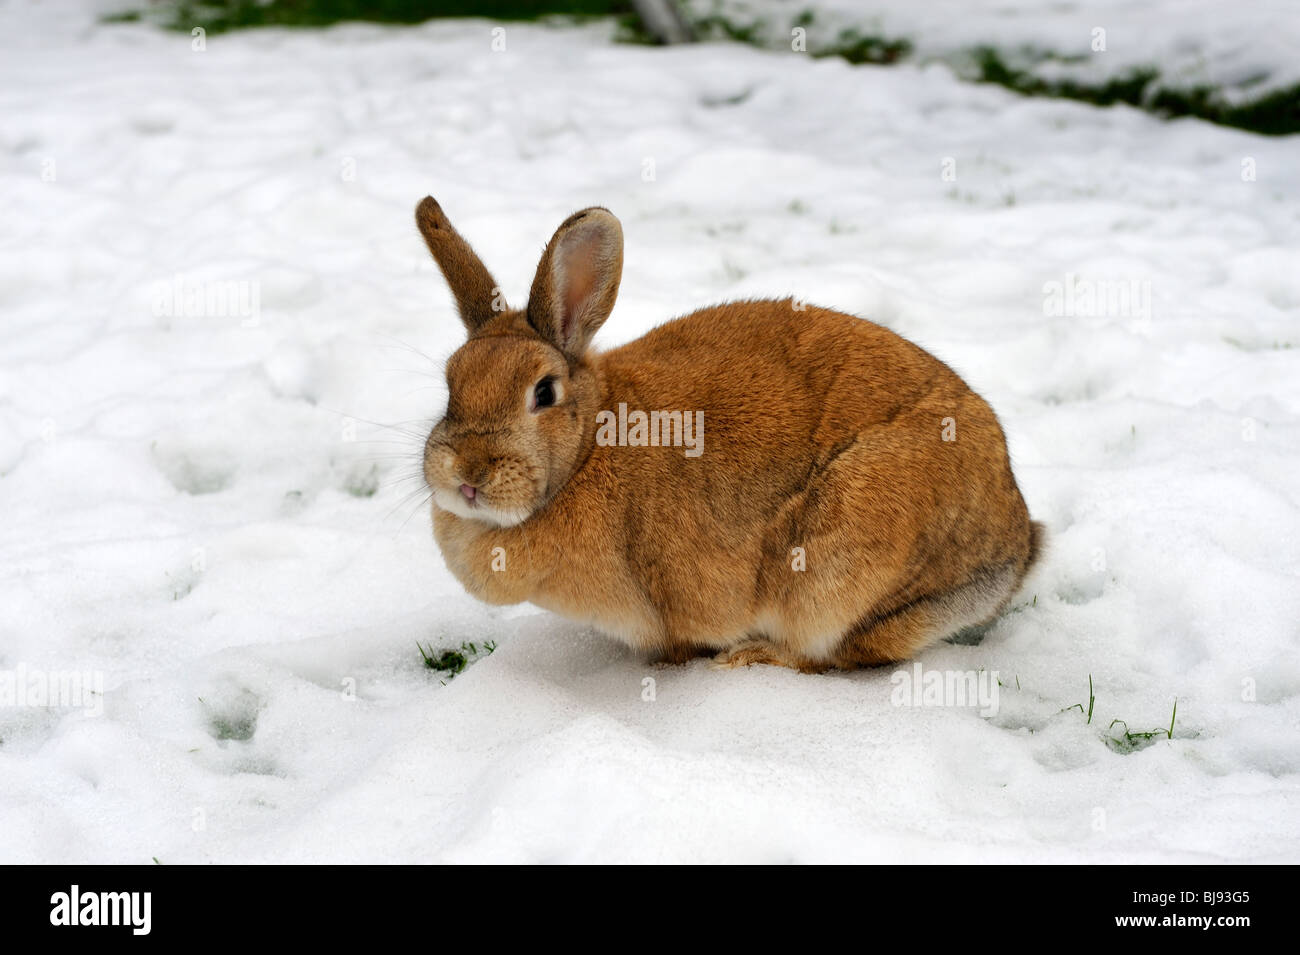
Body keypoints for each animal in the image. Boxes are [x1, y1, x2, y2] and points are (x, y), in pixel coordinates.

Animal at [416, 196, 1043, 671]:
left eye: (543, 393)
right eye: (449, 385)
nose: (469, 473)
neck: (590, 447)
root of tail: (1015, 550)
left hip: (843, 561)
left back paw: (754, 656)